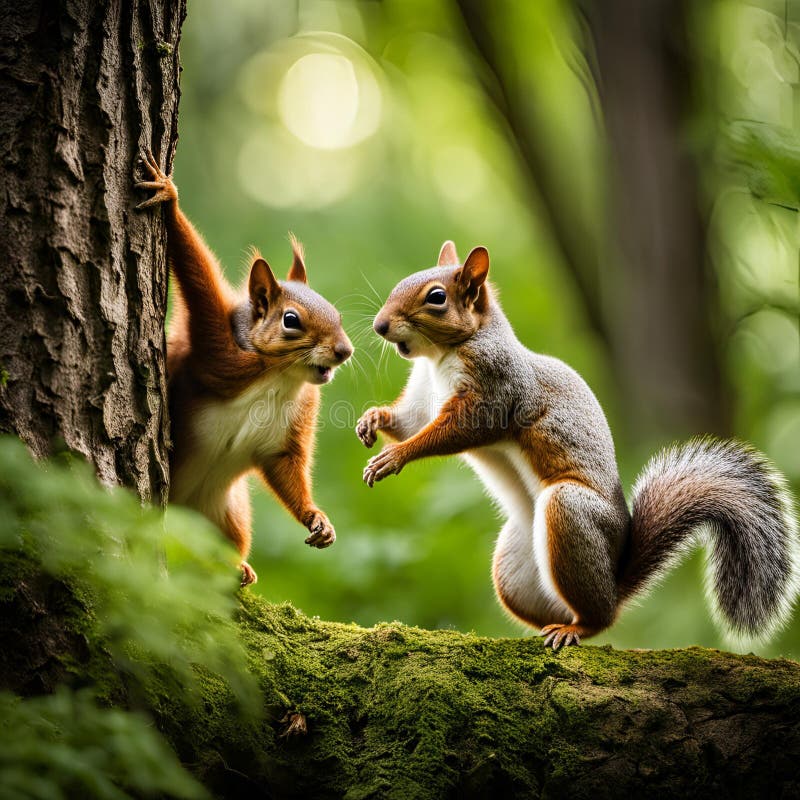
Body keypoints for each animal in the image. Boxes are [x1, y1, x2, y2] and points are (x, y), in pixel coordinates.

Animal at [135, 150, 352, 586]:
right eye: (291, 320)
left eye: (336, 313)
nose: (344, 350)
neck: (278, 380)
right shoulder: (219, 351)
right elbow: (200, 283)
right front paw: (168, 196)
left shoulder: (293, 421)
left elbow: (284, 464)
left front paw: (317, 519)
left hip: (225, 513)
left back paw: (237, 568)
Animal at [356, 240, 799, 648]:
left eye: (436, 297)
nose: (379, 326)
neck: (440, 358)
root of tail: (614, 581)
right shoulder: (423, 396)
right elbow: (411, 422)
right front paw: (372, 420)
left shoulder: (495, 388)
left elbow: (455, 431)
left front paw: (394, 456)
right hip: (513, 568)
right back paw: (550, 627)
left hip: (569, 514)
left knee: (598, 618)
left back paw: (575, 628)